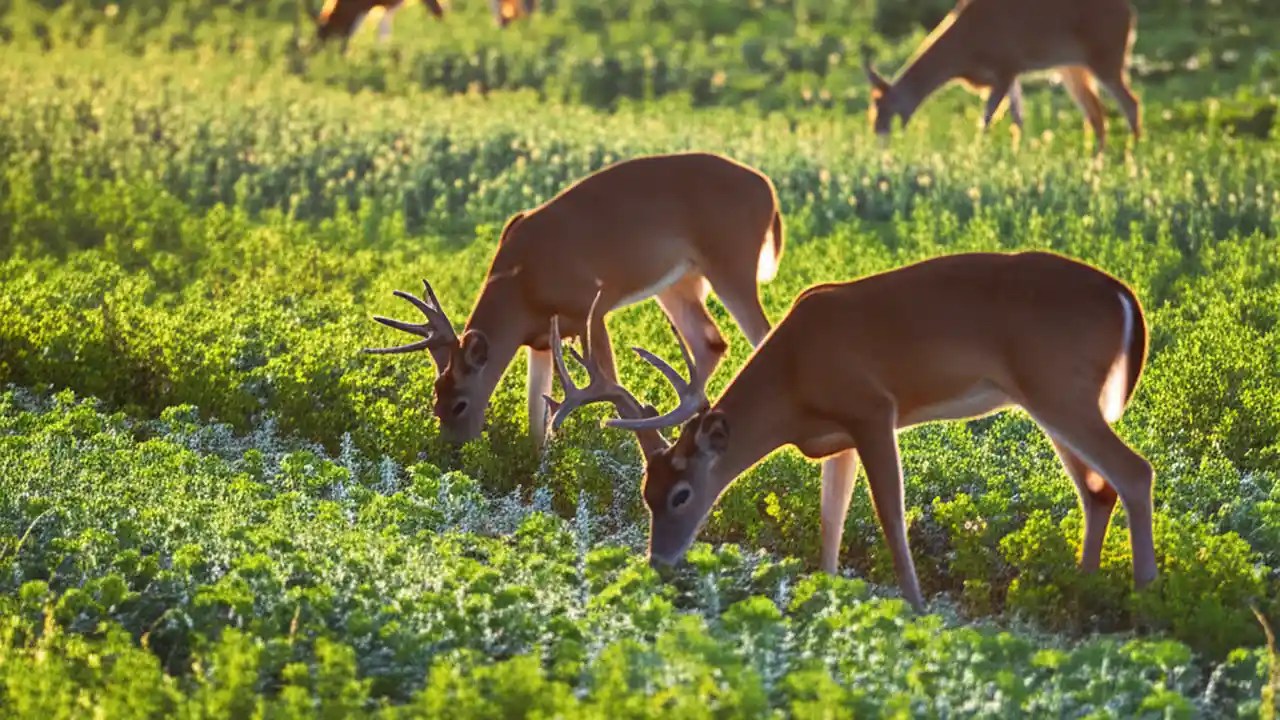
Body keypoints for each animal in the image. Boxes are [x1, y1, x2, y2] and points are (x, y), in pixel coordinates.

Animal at [362, 152, 785, 451]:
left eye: (460, 403)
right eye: (436, 394)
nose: (450, 450)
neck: (523, 282)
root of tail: (767, 187)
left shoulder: (590, 309)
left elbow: (613, 387)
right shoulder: (538, 339)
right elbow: (537, 415)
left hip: (731, 263)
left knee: (762, 335)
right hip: (679, 282)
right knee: (711, 341)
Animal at [547, 251, 1156, 612]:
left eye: (681, 494)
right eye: (643, 494)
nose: (658, 564)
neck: (795, 378)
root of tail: (1126, 299)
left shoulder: (873, 409)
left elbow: (889, 513)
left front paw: (915, 607)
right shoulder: (835, 439)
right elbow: (831, 518)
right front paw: (825, 591)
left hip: (1060, 390)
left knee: (1134, 472)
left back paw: (1146, 597)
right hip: (1048, 400)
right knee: (1097, 490)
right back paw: (1082, 590)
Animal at [862, 0, 1142, 152]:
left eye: (884, 109)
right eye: (873, 109)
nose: (878, 137)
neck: (962, 54)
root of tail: (1130, 13)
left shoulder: (1006, 66)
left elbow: (987, 118)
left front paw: (978, 154)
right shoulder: (1010, 73)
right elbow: (1018, 119)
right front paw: (1017, 155)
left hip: (1106, 56)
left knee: (1130, 103)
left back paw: (1133, 158)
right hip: (1073, 67)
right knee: (1096, 113)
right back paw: (1095, 163)